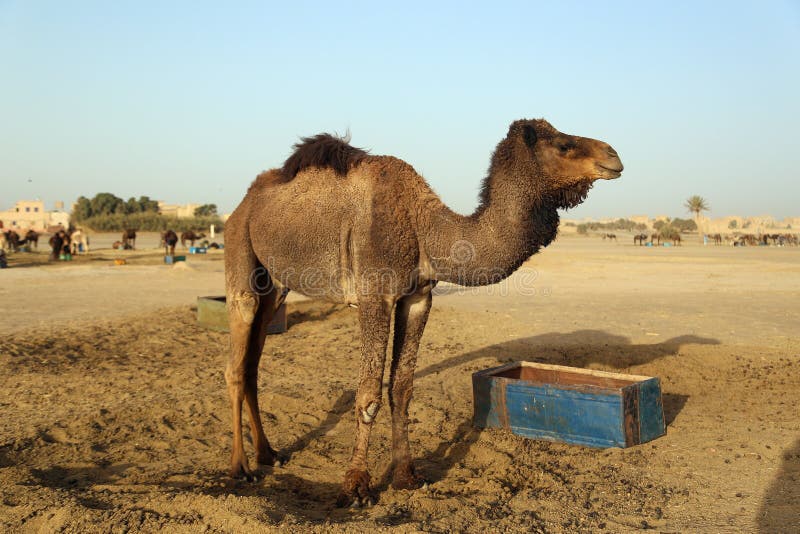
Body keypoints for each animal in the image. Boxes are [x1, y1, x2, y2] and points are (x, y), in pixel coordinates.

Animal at [223, 118, 623, 506]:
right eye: (563, 145)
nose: (613, 155)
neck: (424, 229)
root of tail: (245, 202)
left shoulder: (417, 298)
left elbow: (401, 389)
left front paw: (406, 476)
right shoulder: (374, 295)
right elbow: (368, 394)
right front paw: (356, 487)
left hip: (276, 286)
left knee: (253, 361)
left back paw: (269, 454)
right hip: (239, 250)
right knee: (237, 359)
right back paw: (240, 467)